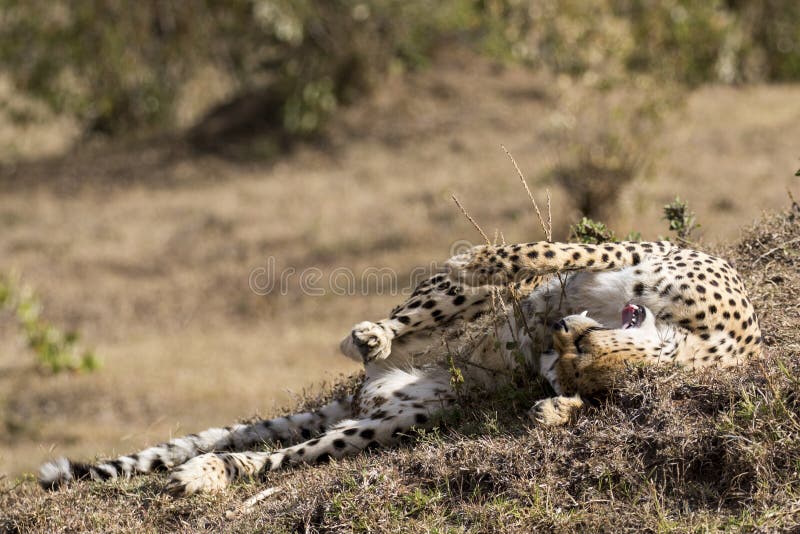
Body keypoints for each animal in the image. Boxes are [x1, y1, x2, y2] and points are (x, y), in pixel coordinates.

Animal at [39, 239, 762, 496]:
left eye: (572, 360)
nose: (557, 333)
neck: (693, 341)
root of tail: (369, 391)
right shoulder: (613, 252)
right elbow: (538, 252)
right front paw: (487, 259)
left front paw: (555, 411)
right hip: (441, 317)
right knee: (416, 310)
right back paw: (371, 335)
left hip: (397, 420)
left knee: (283, 454)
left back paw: (213, 472)